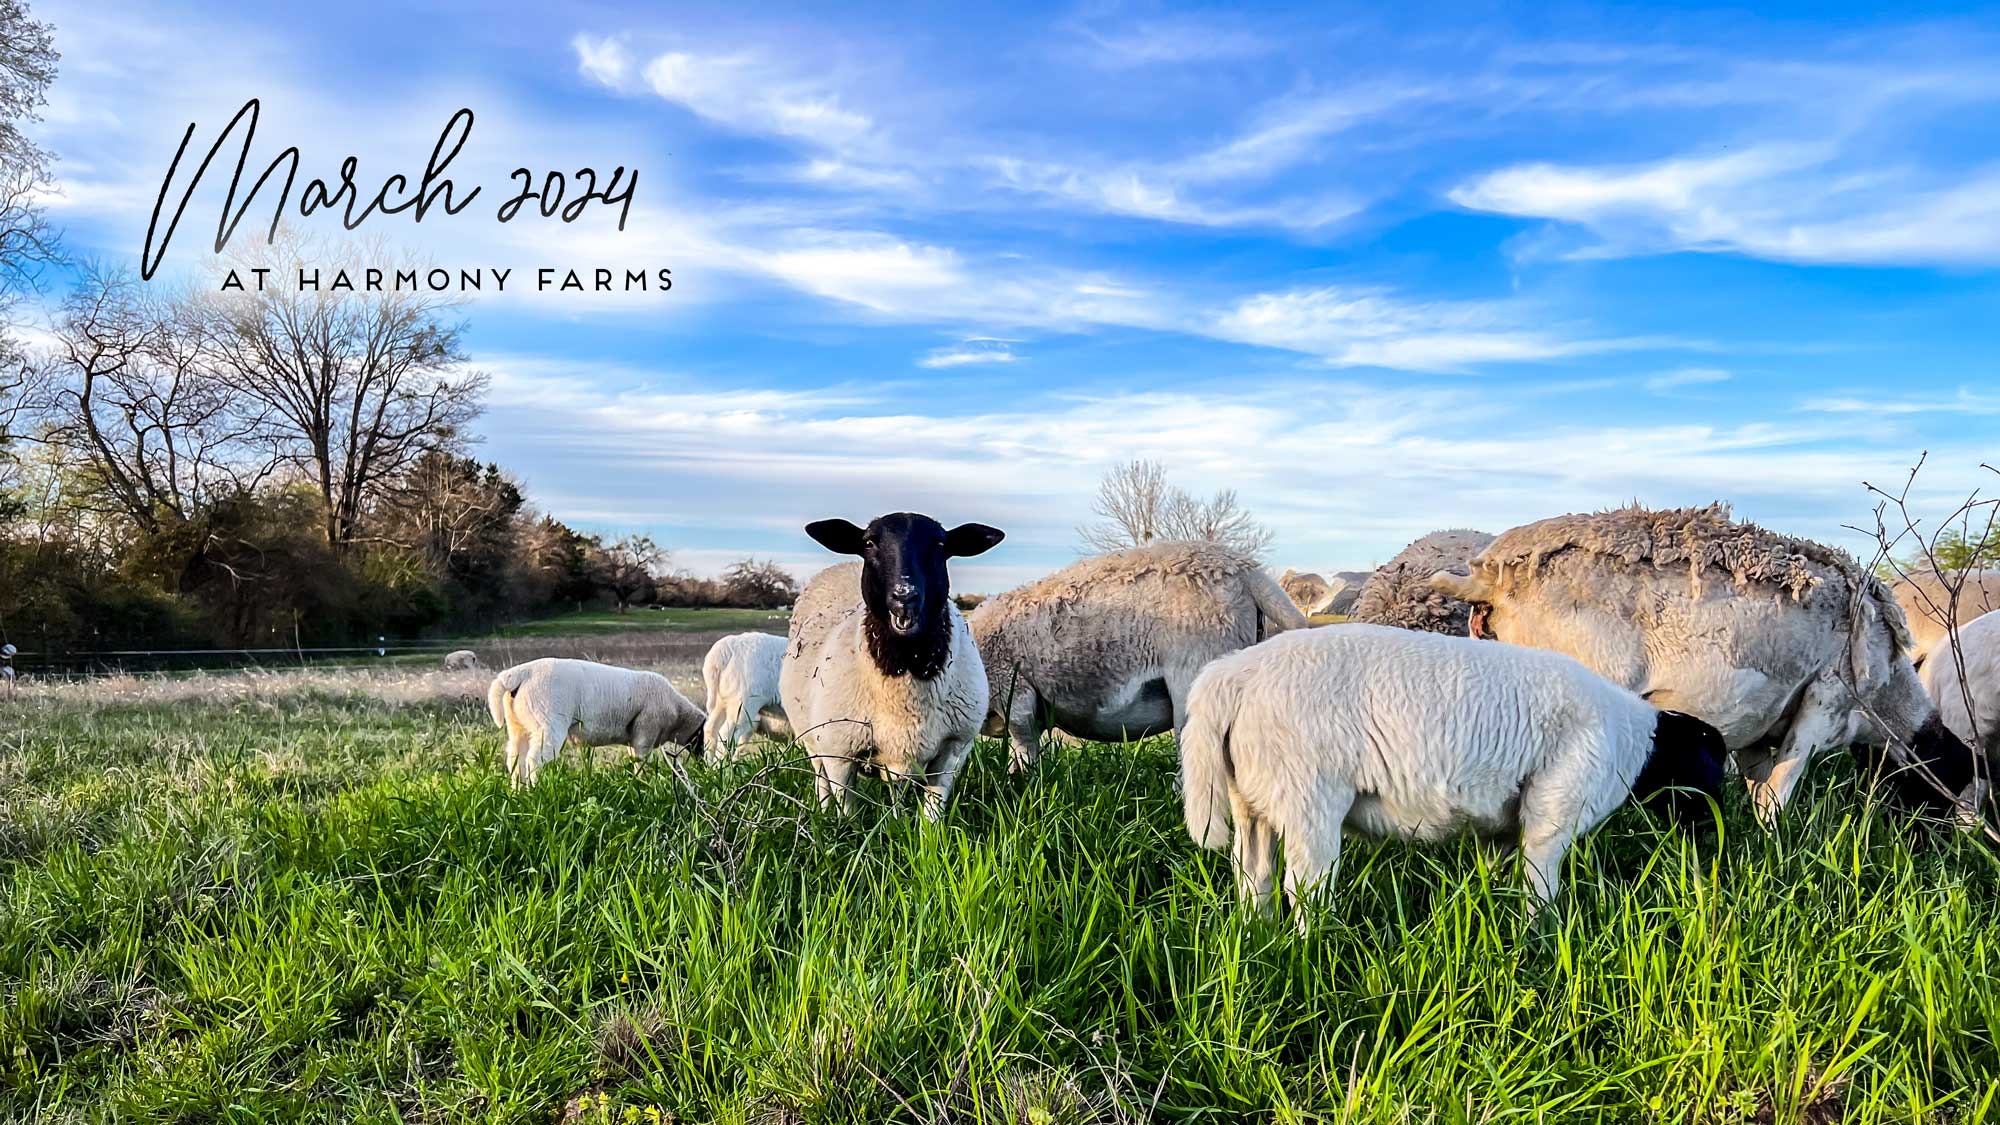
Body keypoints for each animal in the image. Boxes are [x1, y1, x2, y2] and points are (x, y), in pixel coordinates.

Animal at [486, 657, 705, 786]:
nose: (704, 768)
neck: (678, 716)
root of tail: (519, 674)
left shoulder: (634, 737)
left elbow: (635, 759)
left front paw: (637, 782)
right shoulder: (646, 731)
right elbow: (642, 761)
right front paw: (645, 783)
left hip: (519, 726)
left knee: (515, 762)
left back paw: (519, 794)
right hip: (547, 723)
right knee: (534, 761)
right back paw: (537, 790)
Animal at [779, 513, 1005, 818]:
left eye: (940, 544)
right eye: (869, 542)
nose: (904, 596)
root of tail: (841, 564)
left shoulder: (953, 749)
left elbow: (931, 815)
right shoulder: (840, 752)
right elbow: (847, 813)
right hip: (812, 738)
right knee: (820, 778)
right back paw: (824, 811)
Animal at [1182, 624, 1726, 924]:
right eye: (1712, 761)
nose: (1715, 830)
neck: (1635, 744)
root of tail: (1230, 677)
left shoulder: (1503, 827)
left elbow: (1498, 875)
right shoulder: (1554, 809)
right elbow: (1540, 887)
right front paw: (1538, 943)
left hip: (1250, 798)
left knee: (1253, 875)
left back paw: (1258, 937)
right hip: (1307, 794)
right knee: (1306, 887)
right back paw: (1314, 947)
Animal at [1426, 504, 1981, 823]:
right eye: (1951, 789)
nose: (1942, 846)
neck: (1887, 700)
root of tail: (1491, 577)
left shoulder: (1760, 727)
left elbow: (1759, 789)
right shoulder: (1825, 701)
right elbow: (1778, 796)